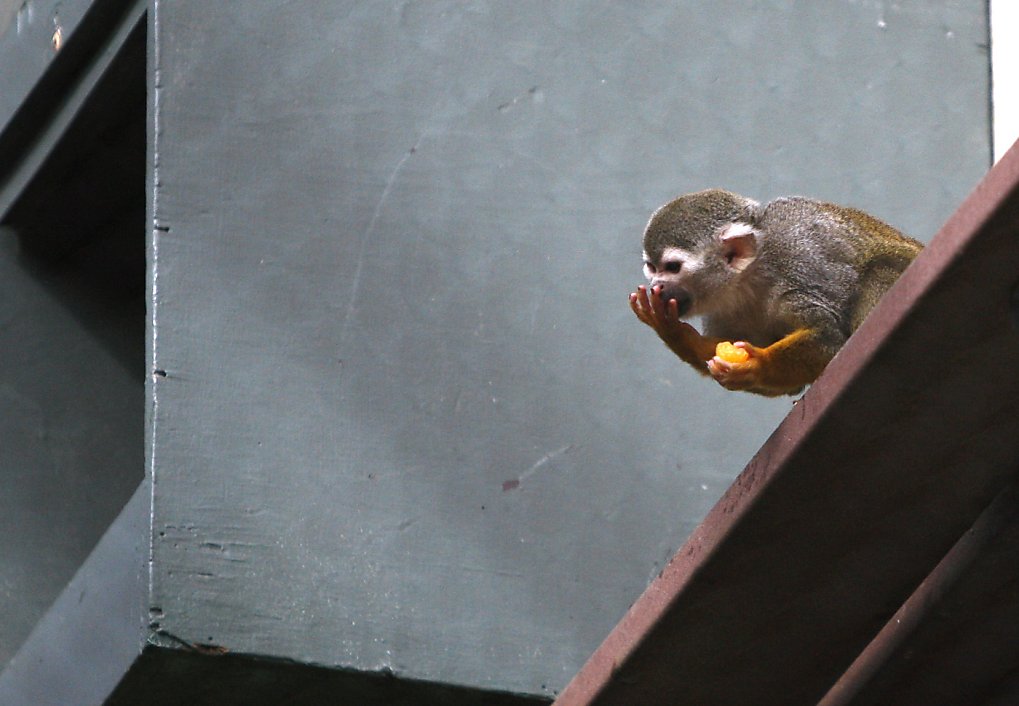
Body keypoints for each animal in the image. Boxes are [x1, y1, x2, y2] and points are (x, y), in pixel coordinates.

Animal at [629, 189, 923, 397]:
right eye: (652, 268)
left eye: (672, 267)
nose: (656, 286)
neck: (750, 278)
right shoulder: (724, 309)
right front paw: (675, 332)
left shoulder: (796, 273)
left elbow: (827, 337)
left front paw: (757, 365)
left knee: (880, 268)